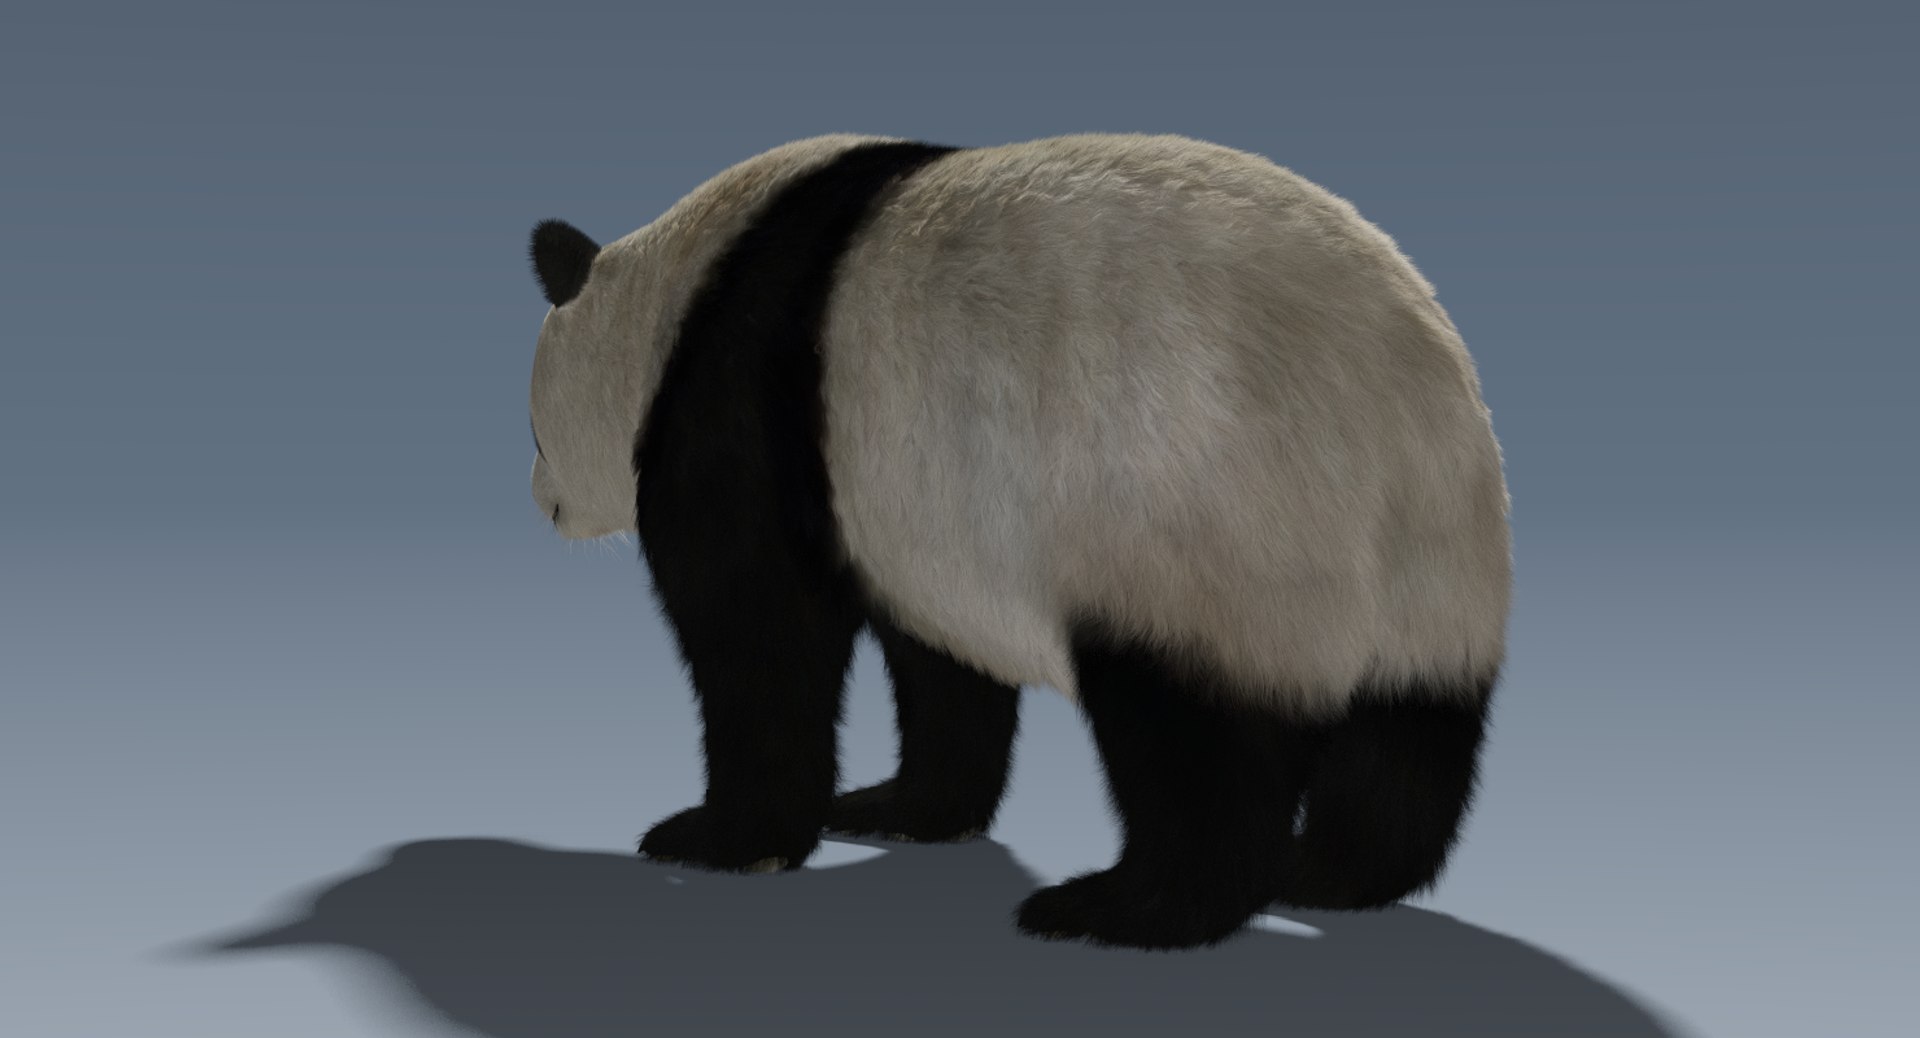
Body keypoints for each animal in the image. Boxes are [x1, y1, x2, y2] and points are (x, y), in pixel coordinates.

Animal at [526, 133, 1512, 951]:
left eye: (533, 432)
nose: (544, 507)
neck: (676, 298)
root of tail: (1392, 414)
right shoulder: (913, 511)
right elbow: (941, 663)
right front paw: (900, 810)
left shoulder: (750, 411)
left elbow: (759, 635)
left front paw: (717, 839)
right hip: (1437, 568)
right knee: (1408, 737)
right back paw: (1325, 876)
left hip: (1205, 532)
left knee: (1197, 740)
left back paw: (1119, 909)